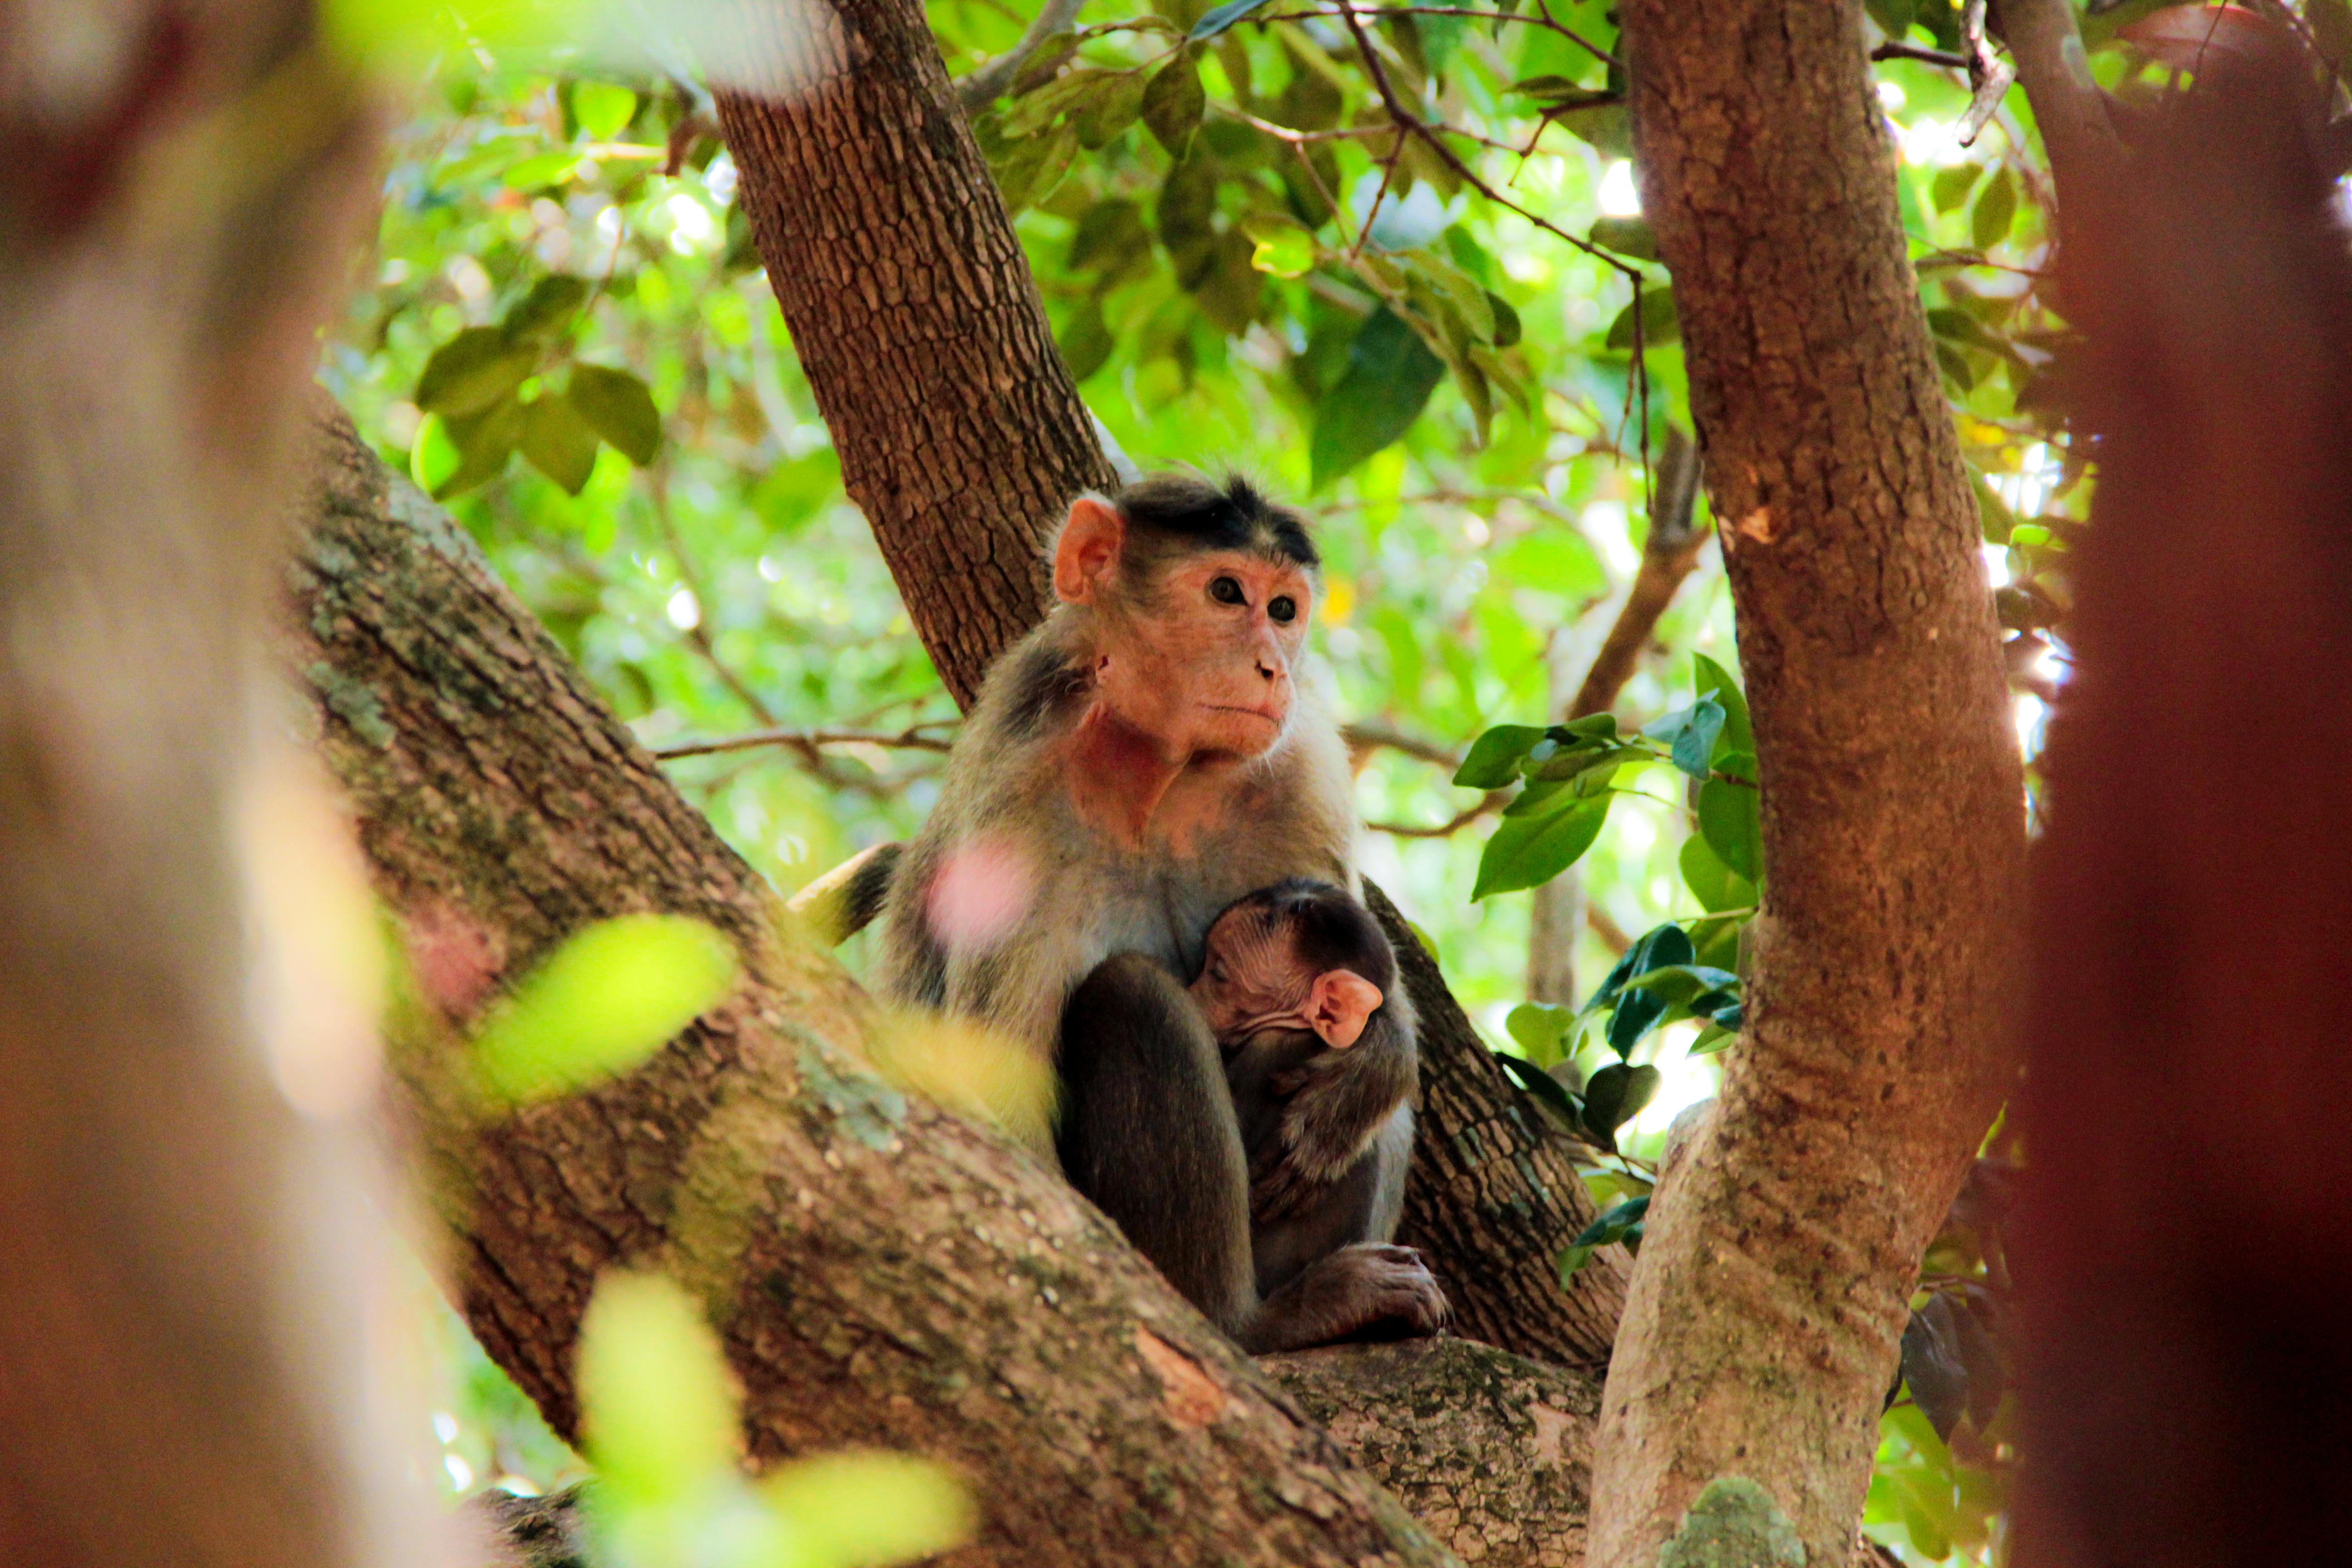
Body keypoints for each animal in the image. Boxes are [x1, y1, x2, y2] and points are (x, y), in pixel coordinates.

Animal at [871, 471, 1446, 1352]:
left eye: (1284, 609)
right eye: (1225, 593)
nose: (1273, 668)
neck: (1153, 778)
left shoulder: (1299, 770)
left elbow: (1364, 970)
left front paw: (1365, 1071)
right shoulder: (1011, 816)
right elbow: (1001, 1100)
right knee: (1132, 994)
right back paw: (1254, 1324)